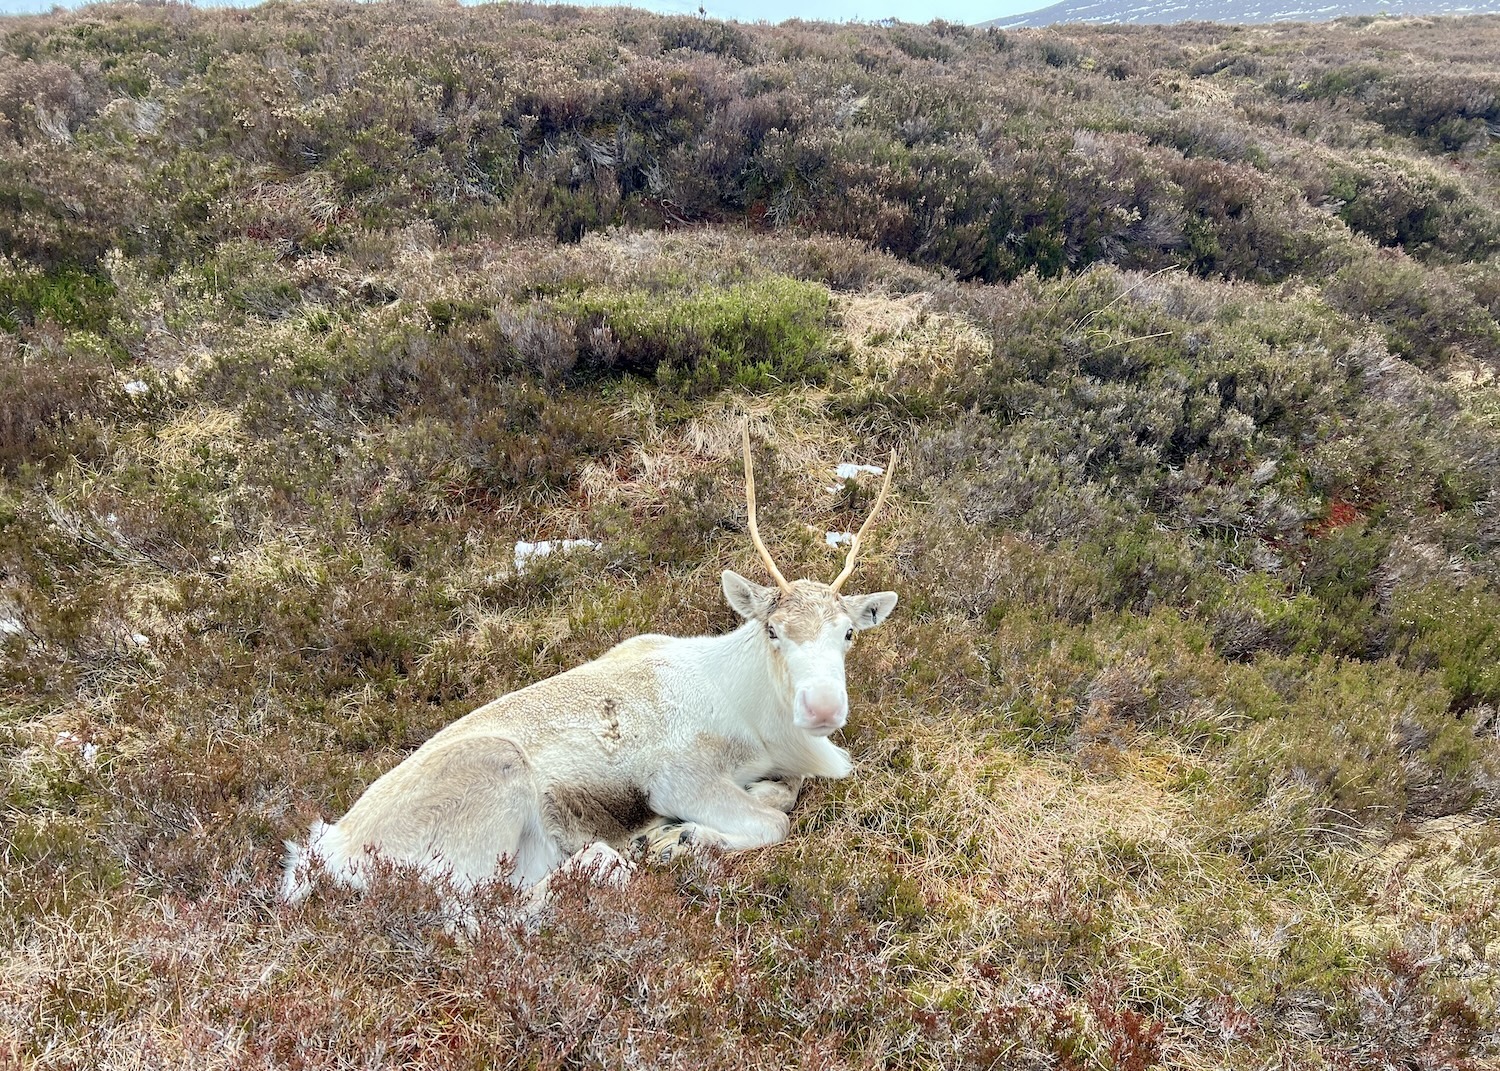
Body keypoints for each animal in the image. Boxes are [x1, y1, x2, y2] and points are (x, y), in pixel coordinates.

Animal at [280, 424, 898, 906]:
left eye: (848, 632)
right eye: (772, 630)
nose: (823, 709)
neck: (749, 713)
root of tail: (325, 858)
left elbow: (784, 793)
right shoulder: (678, 778)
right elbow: (775, 820)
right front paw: (677, 838)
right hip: (487, 802)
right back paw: (613, 855)